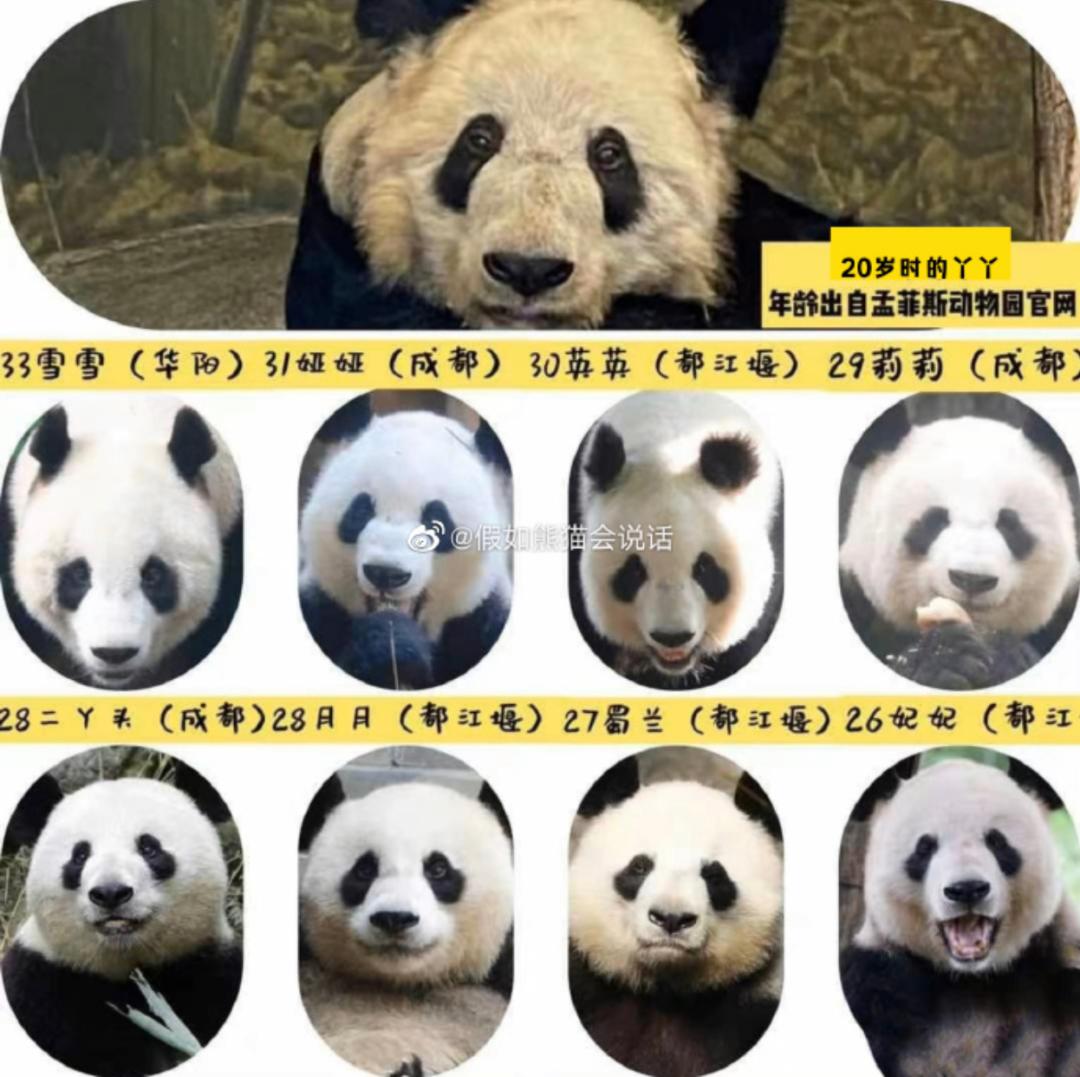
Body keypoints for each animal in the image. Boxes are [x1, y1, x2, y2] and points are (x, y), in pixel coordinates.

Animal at [1, 771, 243, 1077]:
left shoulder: (207, 966)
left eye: (149, 847)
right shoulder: (43, 985)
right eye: (80, 855)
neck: (129, 971)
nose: (110, 893)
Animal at [299, 394, 512, 689]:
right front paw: (389, 644)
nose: (385, 573)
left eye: (437, 521)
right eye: (360, 511)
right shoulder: (319, 607)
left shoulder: (482, 621)